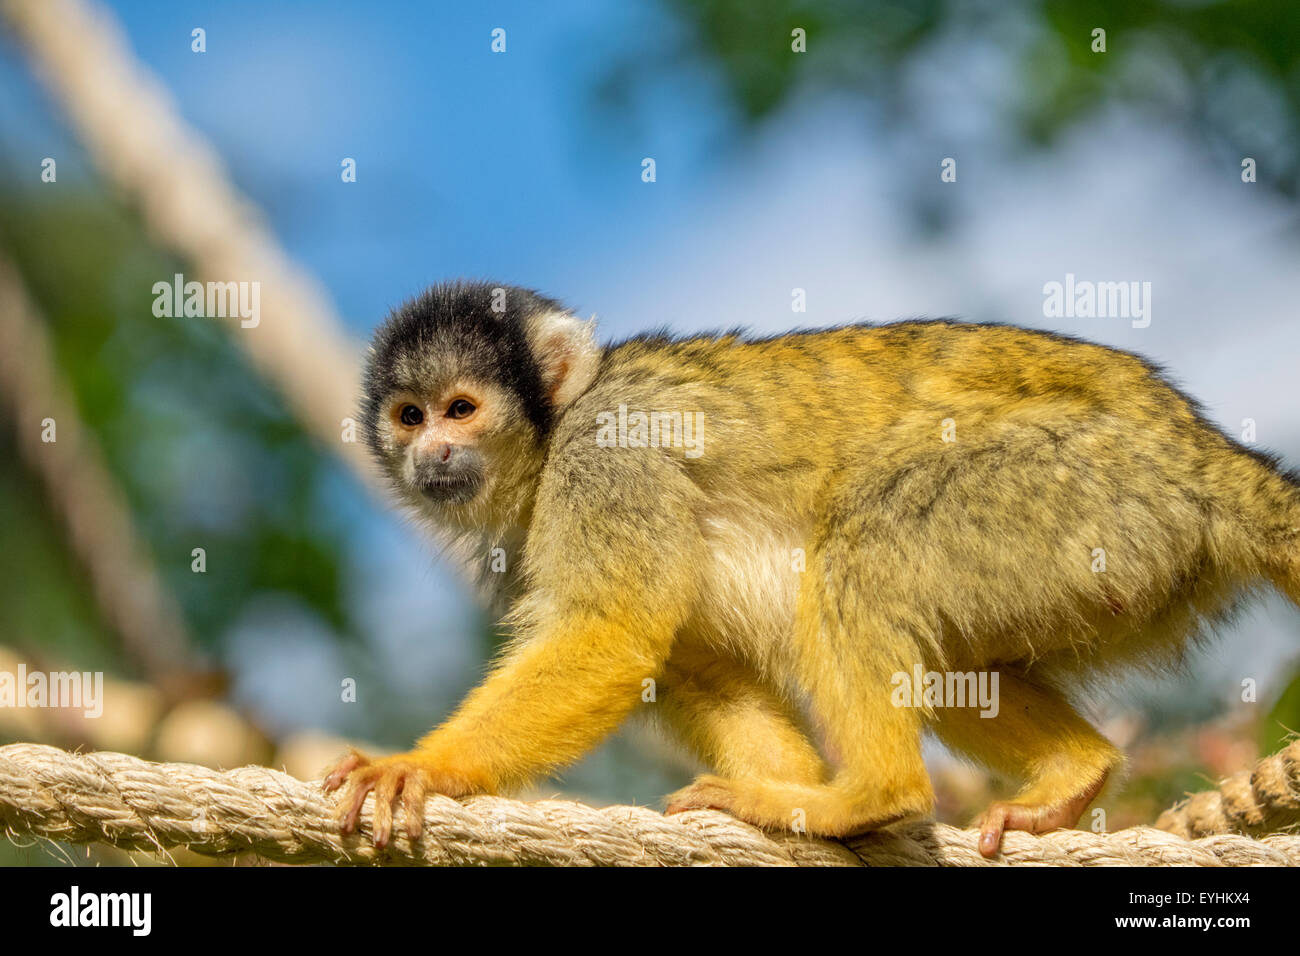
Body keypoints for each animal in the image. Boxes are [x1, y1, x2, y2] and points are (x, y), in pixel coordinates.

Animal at [324, 280, 1300, 858]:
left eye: (461, 408)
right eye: (409, 416)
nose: (433, 453)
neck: (554, 438)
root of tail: (1207, 458)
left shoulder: (611, 457)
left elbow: (615, 633)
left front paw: (421, 768)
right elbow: (697, 668)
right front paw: (780, 789)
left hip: (1086, 496)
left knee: (865, 547)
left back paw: (873, 795)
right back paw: (1076, 772)